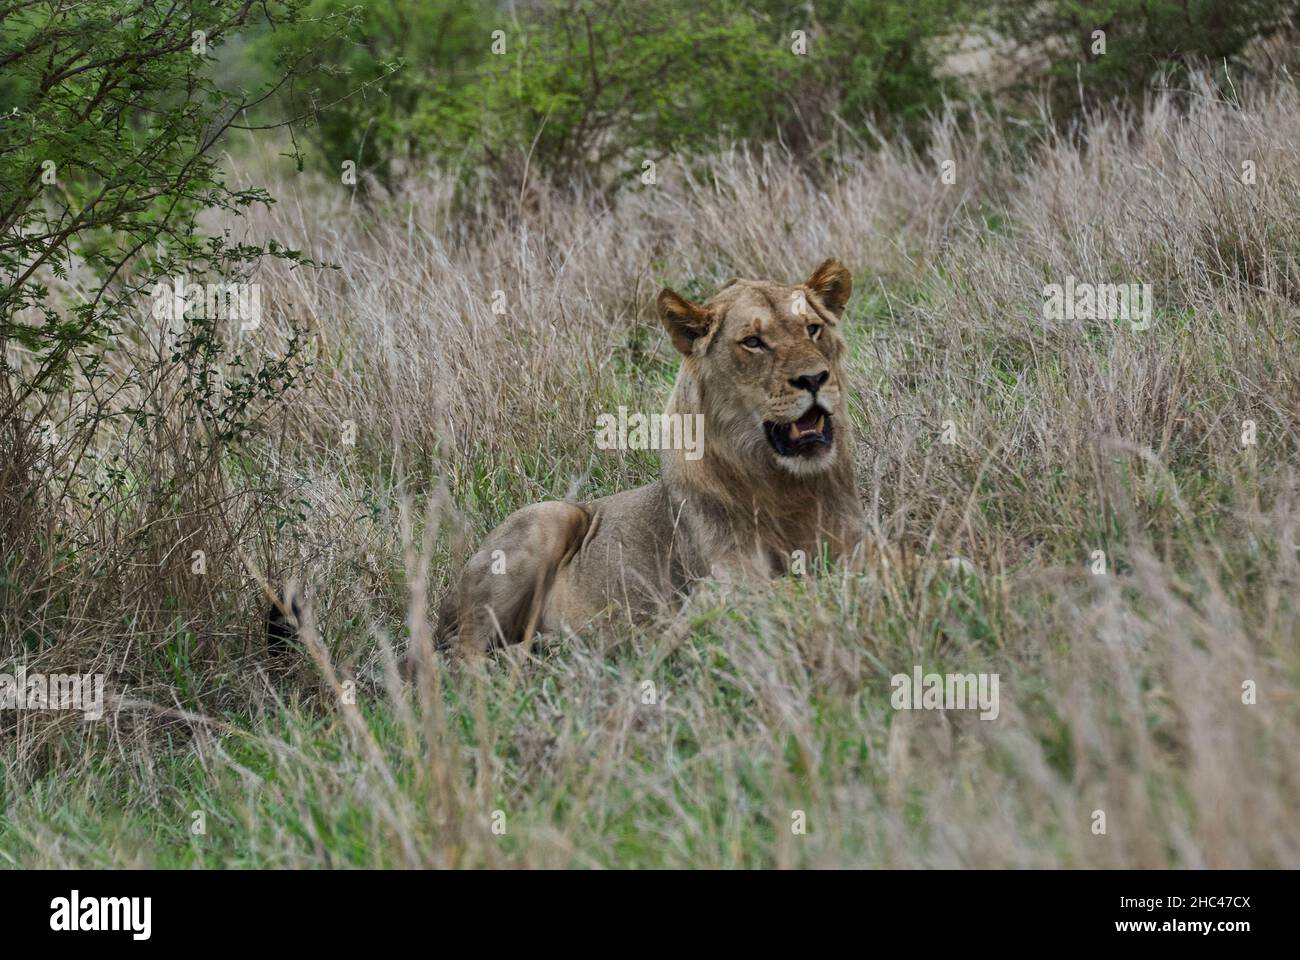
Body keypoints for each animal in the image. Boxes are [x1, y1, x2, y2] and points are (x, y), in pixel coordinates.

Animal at [434, 258, 872, 653]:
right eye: (753, 342)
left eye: (812, 329)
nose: (814, 379)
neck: (788, 487)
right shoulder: (726, 588)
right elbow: (796, 589)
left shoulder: (857, 543)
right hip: (549, 517)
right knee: (463, 658)